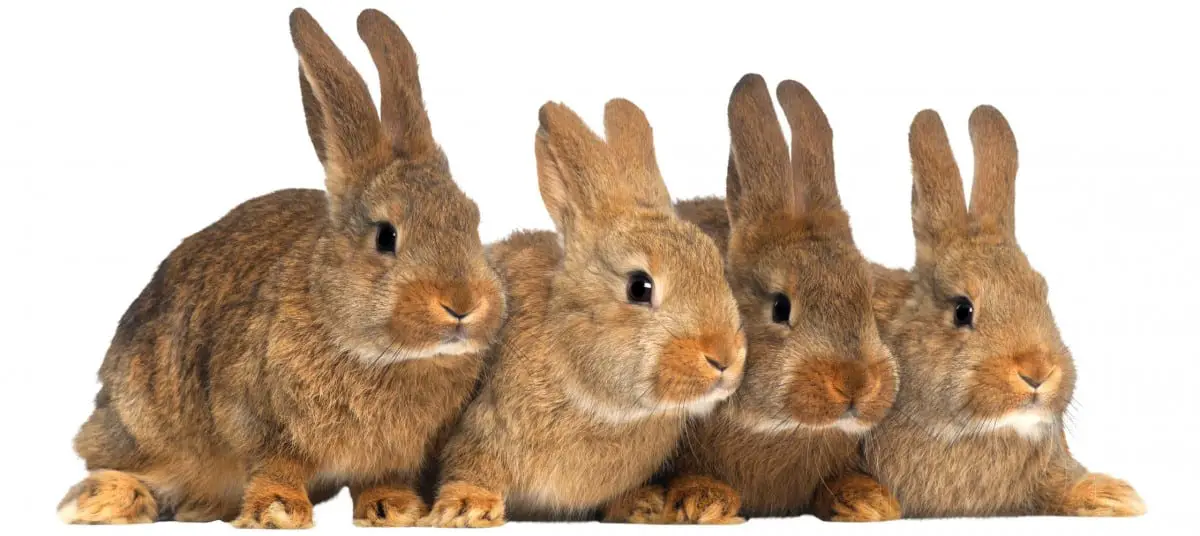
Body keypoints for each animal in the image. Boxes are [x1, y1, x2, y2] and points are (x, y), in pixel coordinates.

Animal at [56, 8, 505, 529]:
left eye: (471, 219)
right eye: (386, 236)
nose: (463, 304)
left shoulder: (390, 454)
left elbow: (380, 477)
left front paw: (394, 509)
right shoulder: (254, 418)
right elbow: (276, 464)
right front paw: (278, 511)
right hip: (141, 419)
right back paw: (108, 500)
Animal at [417, 98, 746, 528]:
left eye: (715, 266)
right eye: (639, 287)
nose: (724, 357)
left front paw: (644, 505)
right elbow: (468, 468)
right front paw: (467, 507)